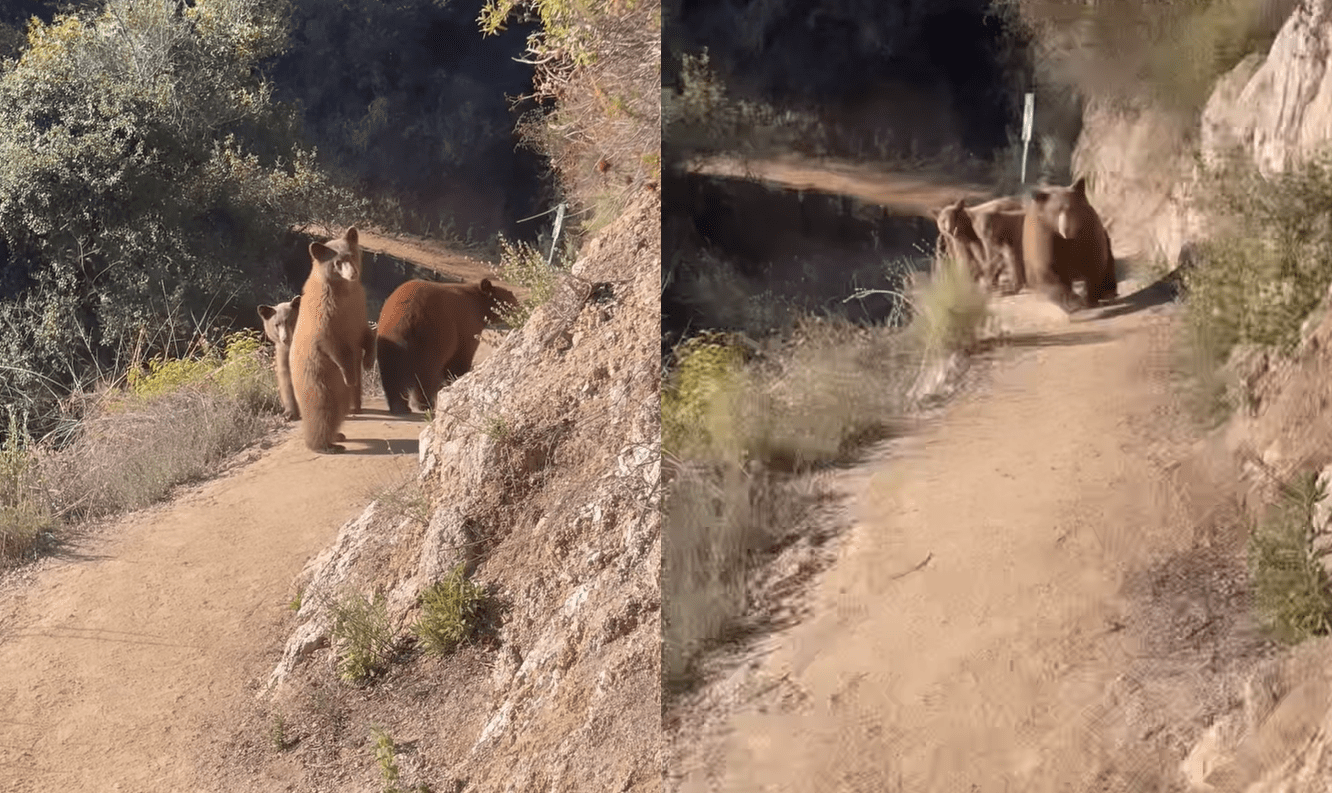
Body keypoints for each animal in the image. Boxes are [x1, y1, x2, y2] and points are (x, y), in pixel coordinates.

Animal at [288, 226, 375, 454]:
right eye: (337, 262)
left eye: (352, 255)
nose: (353, 274)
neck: (344, 291)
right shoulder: (324, 316)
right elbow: (332, 344)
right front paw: (351, 375)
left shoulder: (358, 307)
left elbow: (366, 333)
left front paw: (368, 361)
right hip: (319, 381)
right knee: (323, 412)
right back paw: (324, 445)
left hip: (338, 393)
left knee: (338, 412)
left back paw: (338, 435)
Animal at [375, 278, 520, 414]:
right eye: (512, 298)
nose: (520, 307)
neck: (479, 302)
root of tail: (406, 319)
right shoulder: (466, 325)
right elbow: (460, 358)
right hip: (433, 336)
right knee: (427, 372)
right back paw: (425, 404)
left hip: (390, 341)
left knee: (392, 374)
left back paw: (400, 406)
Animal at [1022, 177, 1116, 313]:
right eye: (1056, 211)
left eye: (1072, 208)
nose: (1066, 229)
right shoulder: (1043, 233)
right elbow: (1048, 268)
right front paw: (1074, 302)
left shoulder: (1088, 228)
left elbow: (1094, 260)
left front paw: (1090, 298)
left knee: (1108, 260)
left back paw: (1108, 293)